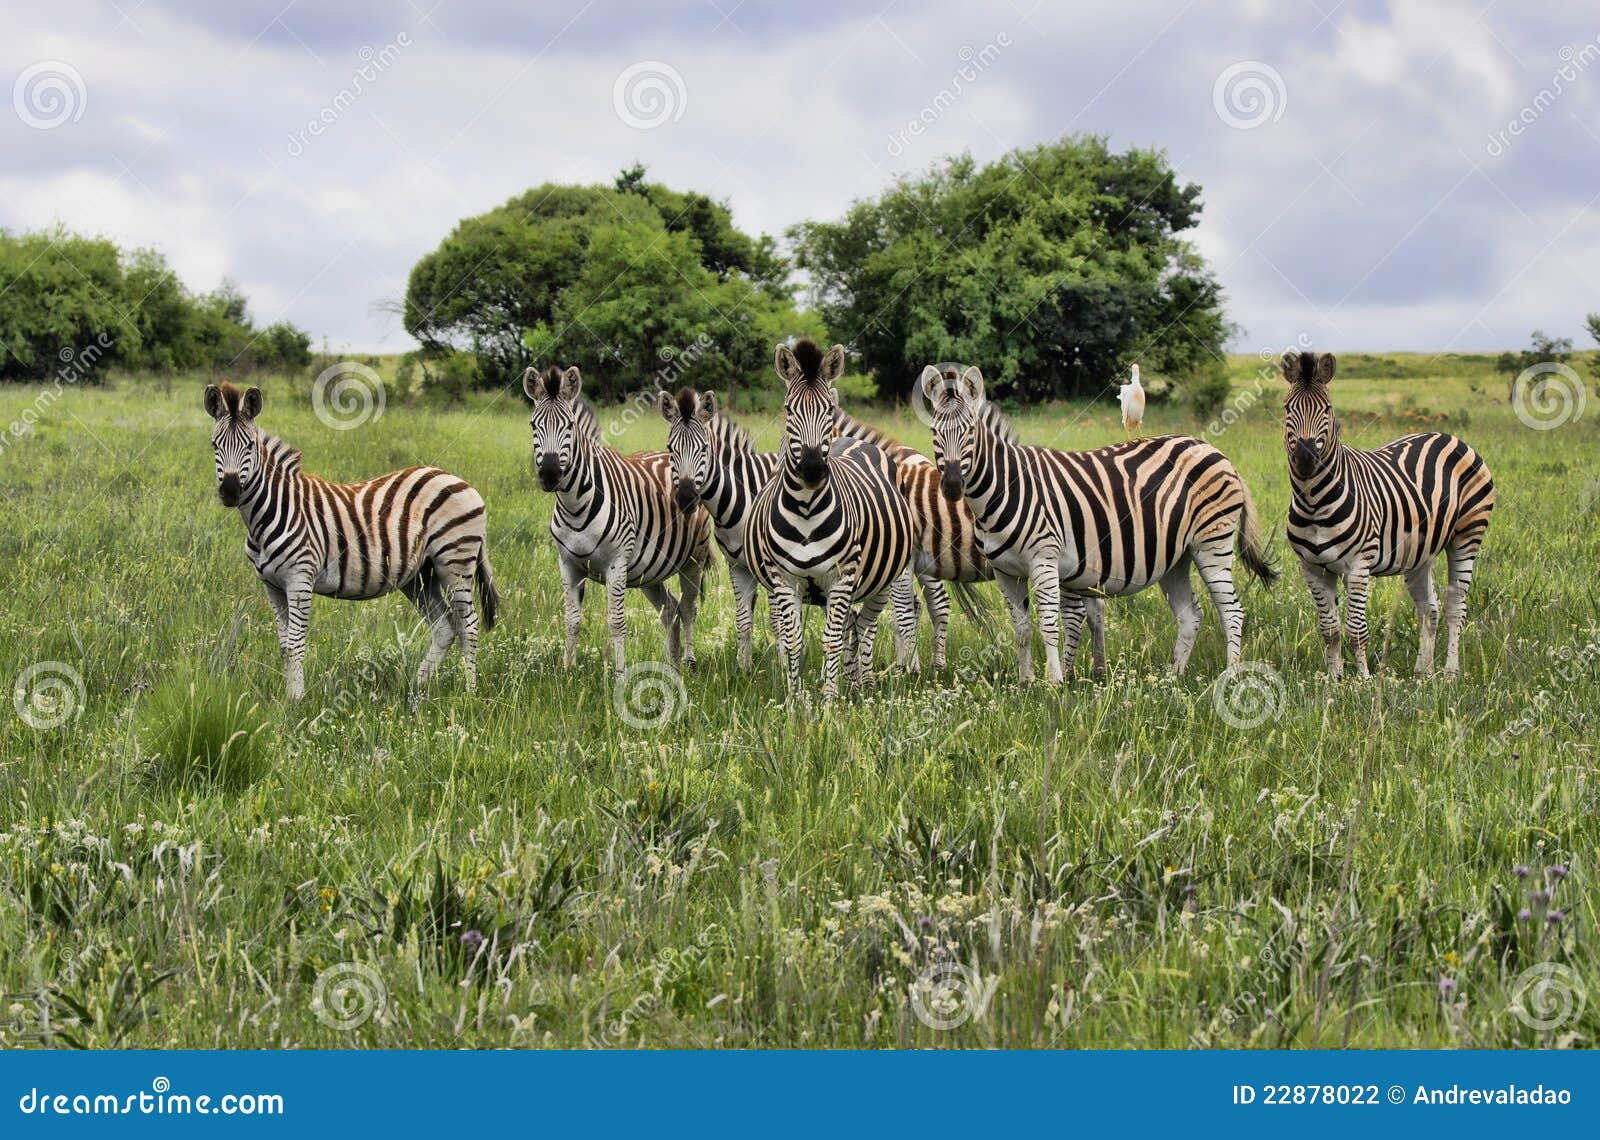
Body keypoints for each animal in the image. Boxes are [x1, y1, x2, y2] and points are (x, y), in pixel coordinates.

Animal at [204, 382, 497, 701]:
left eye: (250, 446)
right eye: (214, 445)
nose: (230, 491)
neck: (269, 512)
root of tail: (458, 479)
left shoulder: (300, 579)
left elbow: (295, 644)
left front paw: (296, 701)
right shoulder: (271, 585)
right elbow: (284, 646)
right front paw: (287, 697)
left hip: (455, 561)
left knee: (468, 625)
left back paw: (469, 694)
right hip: (421, 575)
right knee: (445, 627)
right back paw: (417, 688)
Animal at [527, 365, 712, 676]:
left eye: (569, 427)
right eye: (533, 426)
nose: (550, 474)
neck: (574, 504)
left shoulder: (616, 564)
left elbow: (616, 622)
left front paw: (620, 674)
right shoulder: (568, 564)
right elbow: (571, 619)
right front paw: (567, 671)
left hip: (693, 560)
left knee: (688, 608)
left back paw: (689, 664)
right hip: (651, 572)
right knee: (670, 610)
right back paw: (671, 665)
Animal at [743, 340, 918, 699]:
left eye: (827, 410)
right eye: (788, 410)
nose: (812, 469)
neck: (806, 510)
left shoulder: (841, 577)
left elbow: (832, 641)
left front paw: (829, 702)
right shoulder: (785, 580)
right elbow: (793, 641)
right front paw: (796, 701)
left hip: (884, 579)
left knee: (865, 626)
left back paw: (864, 685)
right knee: (853, 625)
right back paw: (852, 682)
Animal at [921, 365, 1277, 683]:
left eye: (970, 431)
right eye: (934, 432)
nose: (951, 485)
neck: (1005, 489)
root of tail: (1212, 448)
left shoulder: (1045, 561)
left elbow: (1049, 625)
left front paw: (1054, 686)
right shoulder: (1006, 573)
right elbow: (1021, 630)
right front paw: (1025, 685)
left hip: (1212, 544)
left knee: (1232, 611)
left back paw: (1230, 676)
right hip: (1176, 557)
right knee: (1190, 615)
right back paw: (1172, 678)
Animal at [1281, 351, 1495, 677]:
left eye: (1327, 409)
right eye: (1287, 408)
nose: (1306, 459)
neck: (1314, 501)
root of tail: (1449, 436)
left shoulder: (1359, 565)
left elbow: (1356, 629)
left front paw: (1364, 679)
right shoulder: (1313, 568)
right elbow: (1329, 630)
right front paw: (1334, 679)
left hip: (1467, 536)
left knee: (1456, 607)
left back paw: (1450, 674)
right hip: (1420, 552)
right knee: (1429, 609)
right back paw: (1423, 673)